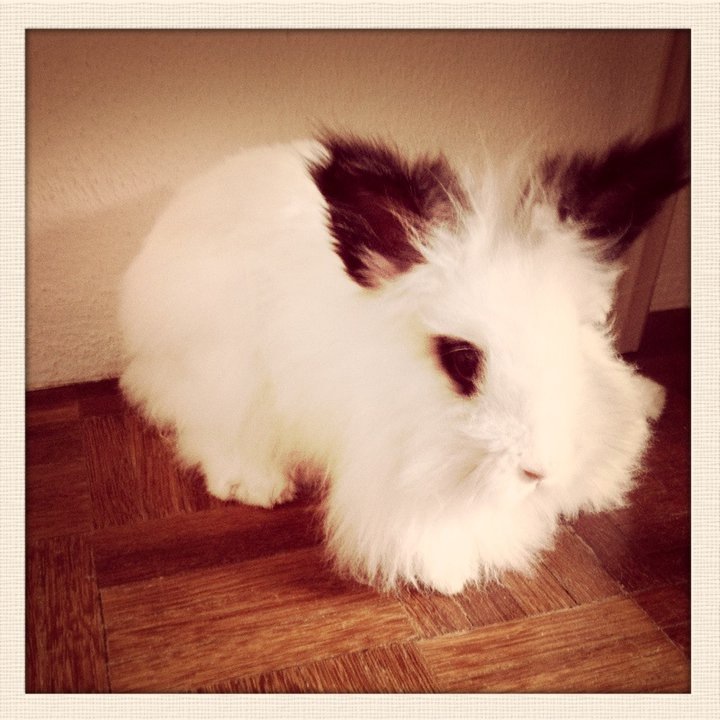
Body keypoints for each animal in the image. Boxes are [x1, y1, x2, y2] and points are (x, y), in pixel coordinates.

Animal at [119, 126, 688, 595]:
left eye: (578, 337)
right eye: (461, 361)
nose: (541, 470)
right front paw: (451, 570)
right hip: (220, 372)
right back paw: (254, 484)